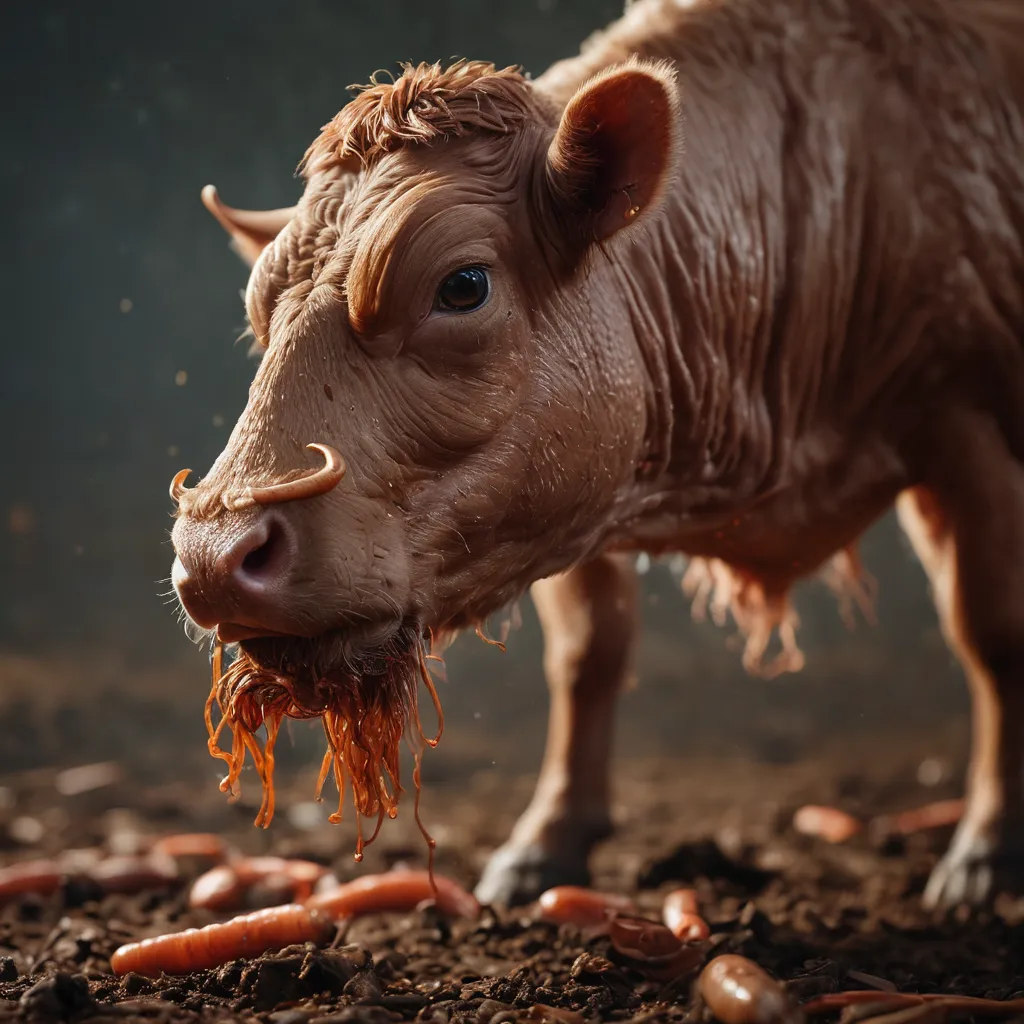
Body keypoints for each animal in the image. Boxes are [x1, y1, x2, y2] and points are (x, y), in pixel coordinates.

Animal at [169, 0, 1024, 911]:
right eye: (259, 312)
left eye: (462, 285)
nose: (215, 556)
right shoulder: (556, 493)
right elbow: (589, 654)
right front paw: (547, 843)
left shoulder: (977, 424)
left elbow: (992, 631)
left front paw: (986, 849)